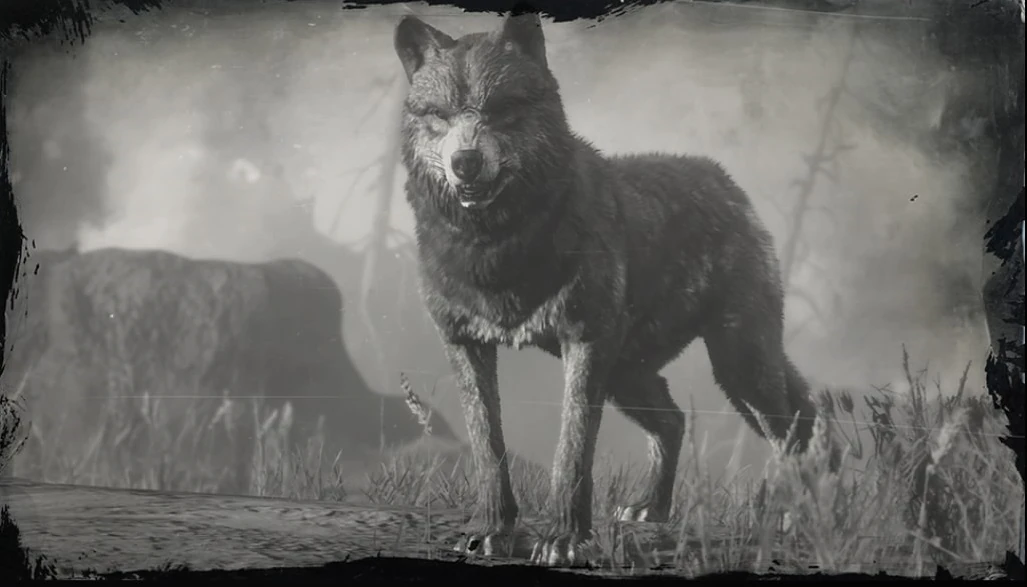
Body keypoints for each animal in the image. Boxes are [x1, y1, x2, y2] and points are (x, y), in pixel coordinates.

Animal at [394, 11, 828, 566]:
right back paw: (652, 509)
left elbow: (572, 451)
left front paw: (563, 539)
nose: (465, 162)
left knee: (793, 427)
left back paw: (797, 517)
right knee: (676, 420)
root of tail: (725, 182)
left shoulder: (585, 345)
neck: (499, 245)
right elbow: (489, 448)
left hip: (737, 365)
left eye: (502, 109)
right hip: (634, 374)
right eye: (439, 115)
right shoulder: (465, 345)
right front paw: (491, 530)